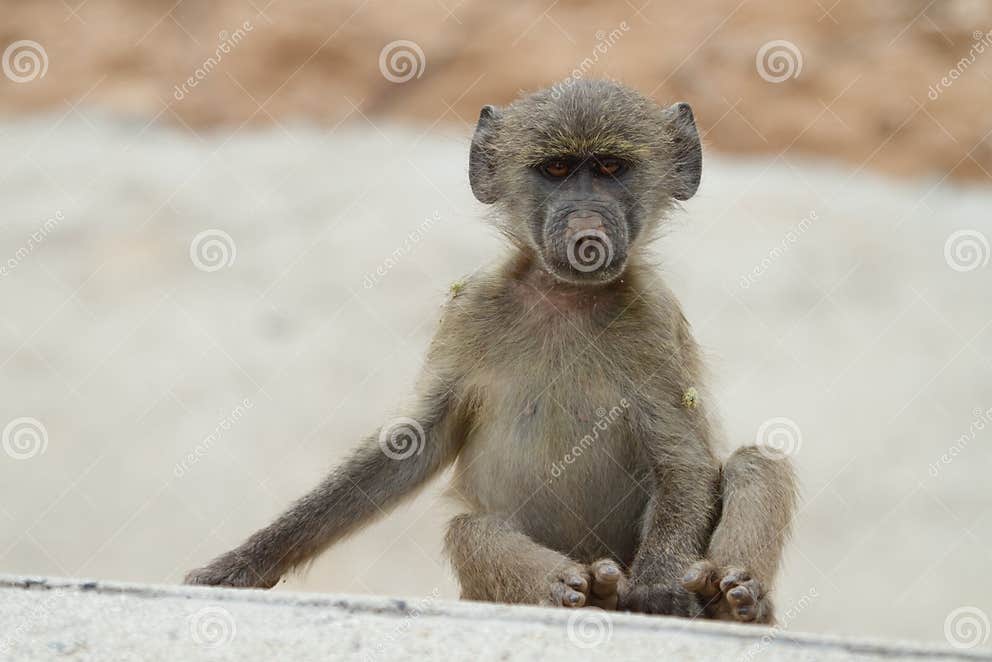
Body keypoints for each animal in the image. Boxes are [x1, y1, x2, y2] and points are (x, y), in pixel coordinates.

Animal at [185, 79, 797, 624]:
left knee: (754, 463)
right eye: (556, 170)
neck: (566, 297)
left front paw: (659, 588)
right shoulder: (471, 308)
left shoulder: (654, 319)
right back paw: (575, 590)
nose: (586, 224)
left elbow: (683, 463)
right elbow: (415, 444)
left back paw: (733, 597)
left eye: (609, 169)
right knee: (472, 528)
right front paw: (244, 563)